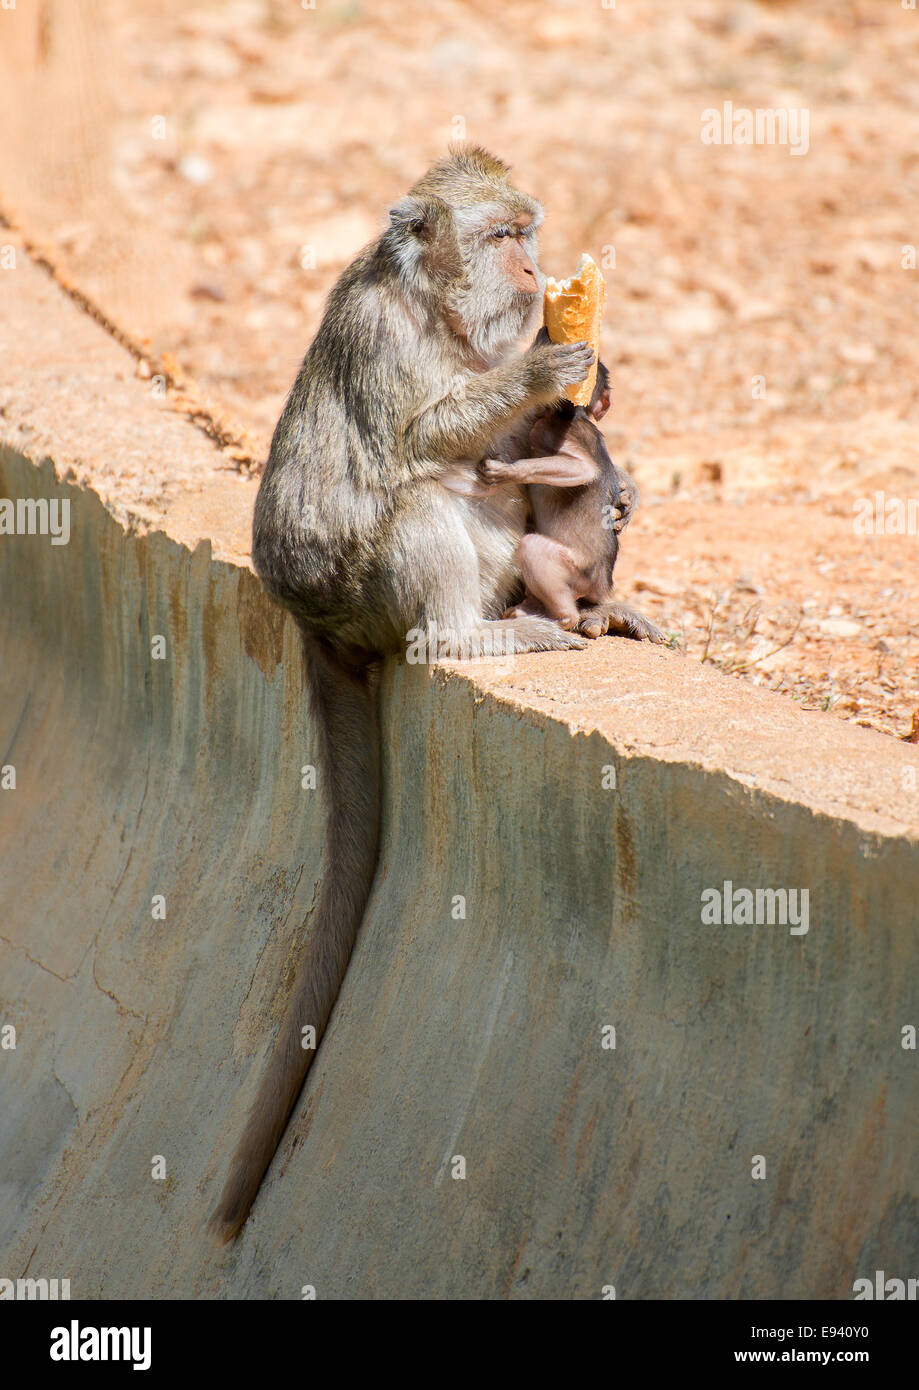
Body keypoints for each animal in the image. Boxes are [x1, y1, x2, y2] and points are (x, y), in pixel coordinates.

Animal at [207, 147, 601, 1244]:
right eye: (502, 237)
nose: (532, 272)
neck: (435, 307)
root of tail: (315, 622)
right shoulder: (382, 336)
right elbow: (427, 437)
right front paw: (543, 367)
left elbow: (510, 453)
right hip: (364, 590)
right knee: (425, 497)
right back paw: (467, 634)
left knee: (489, 493)